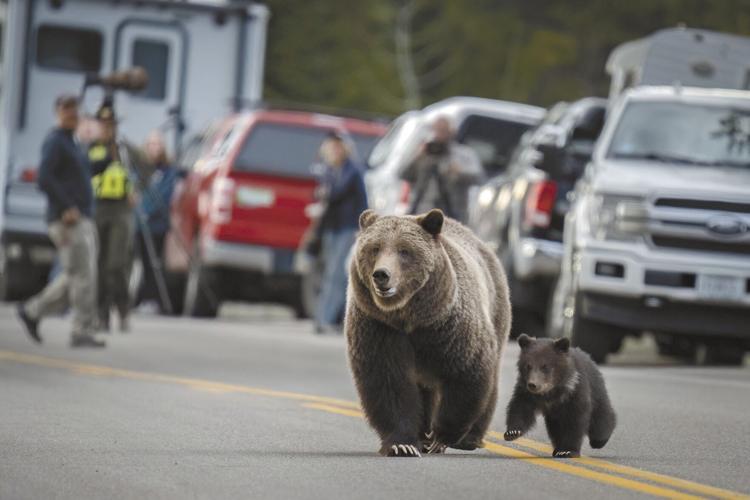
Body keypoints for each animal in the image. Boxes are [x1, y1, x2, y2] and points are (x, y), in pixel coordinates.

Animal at [345, 208, 511, 457]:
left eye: (404, 250)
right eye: (375, 248)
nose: (381, 275)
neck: (410, 318)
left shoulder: (450, 329)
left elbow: (466, 372)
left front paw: (441, 438)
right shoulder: (379, 327)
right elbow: (388, 382)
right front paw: (402, 444)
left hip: (496, 309)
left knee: (490, 380)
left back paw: (469, 438)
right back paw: (423, 436)